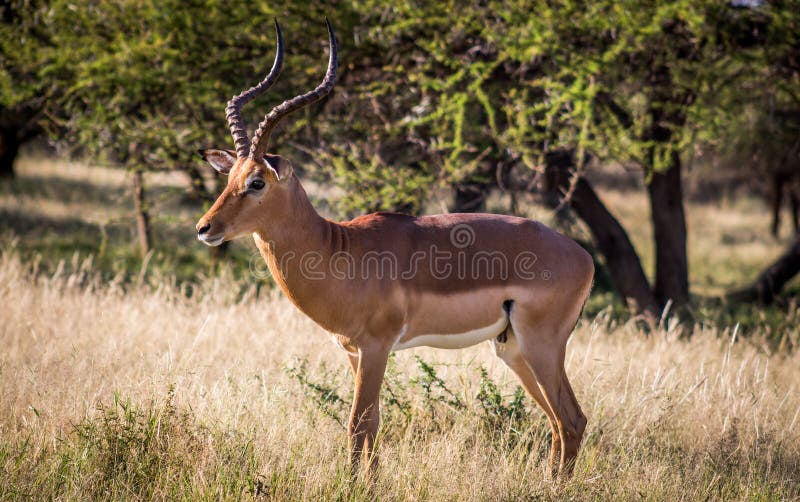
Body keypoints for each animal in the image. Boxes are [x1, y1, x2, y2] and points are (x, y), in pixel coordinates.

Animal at [195, 19, 594, 478]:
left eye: (257, 182)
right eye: (229, 179)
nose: (205, 228)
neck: (339, 251)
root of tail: (583, 256)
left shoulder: (376, 347)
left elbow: (357, 424)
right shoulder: (353, 352)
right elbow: (373, 424)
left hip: (540, 345)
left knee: (571, 419)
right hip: (511, 348)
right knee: (559, 422)